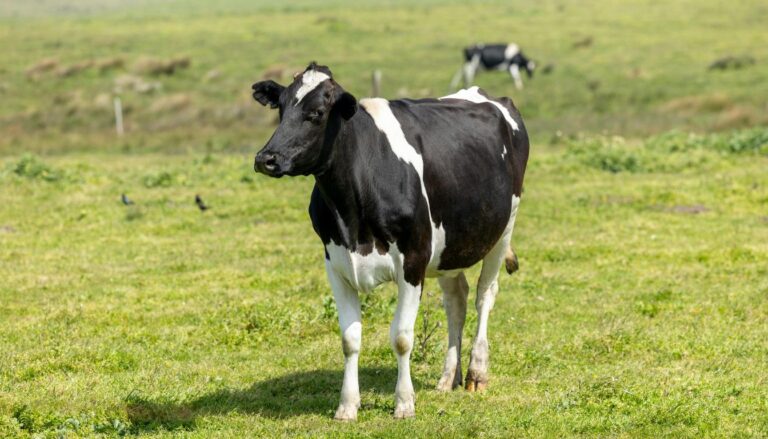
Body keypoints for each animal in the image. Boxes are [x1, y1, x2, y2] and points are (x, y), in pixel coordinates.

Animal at [251, 62, 529, 420]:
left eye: (316, 113)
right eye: (281, 109)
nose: (265, 159)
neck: (352, 215)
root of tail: (485, 95)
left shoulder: (413, 260)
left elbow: (401, 337)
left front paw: (404, 403)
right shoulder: (336, 265)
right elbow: (349, 339)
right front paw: (347, 406)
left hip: (503, 228)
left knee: (485, 295)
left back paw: (476, 373)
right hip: (449, 248)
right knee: (457, 300)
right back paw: (447, 378)